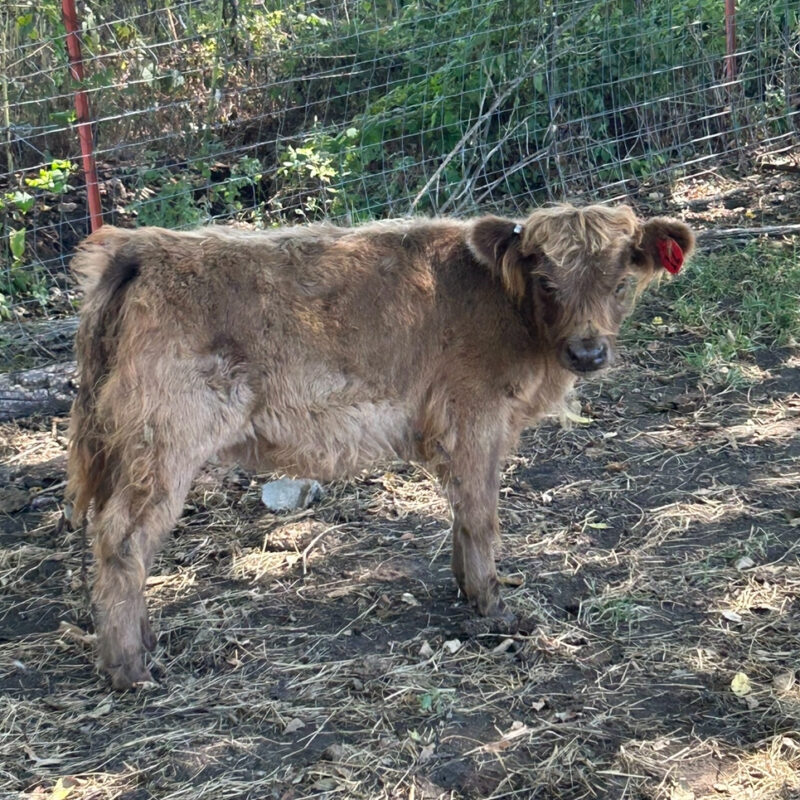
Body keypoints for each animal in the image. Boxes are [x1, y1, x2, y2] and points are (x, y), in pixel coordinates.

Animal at [66, 204, 694, 689]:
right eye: (547, 282)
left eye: (620, 283)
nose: (588, 353)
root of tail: (141, 247)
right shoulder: (475, 422)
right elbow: (482, 514)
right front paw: (494, 609)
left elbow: (464, 514)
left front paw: (467, 588)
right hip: (163, 444)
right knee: (121, 538)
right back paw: (130, 668)